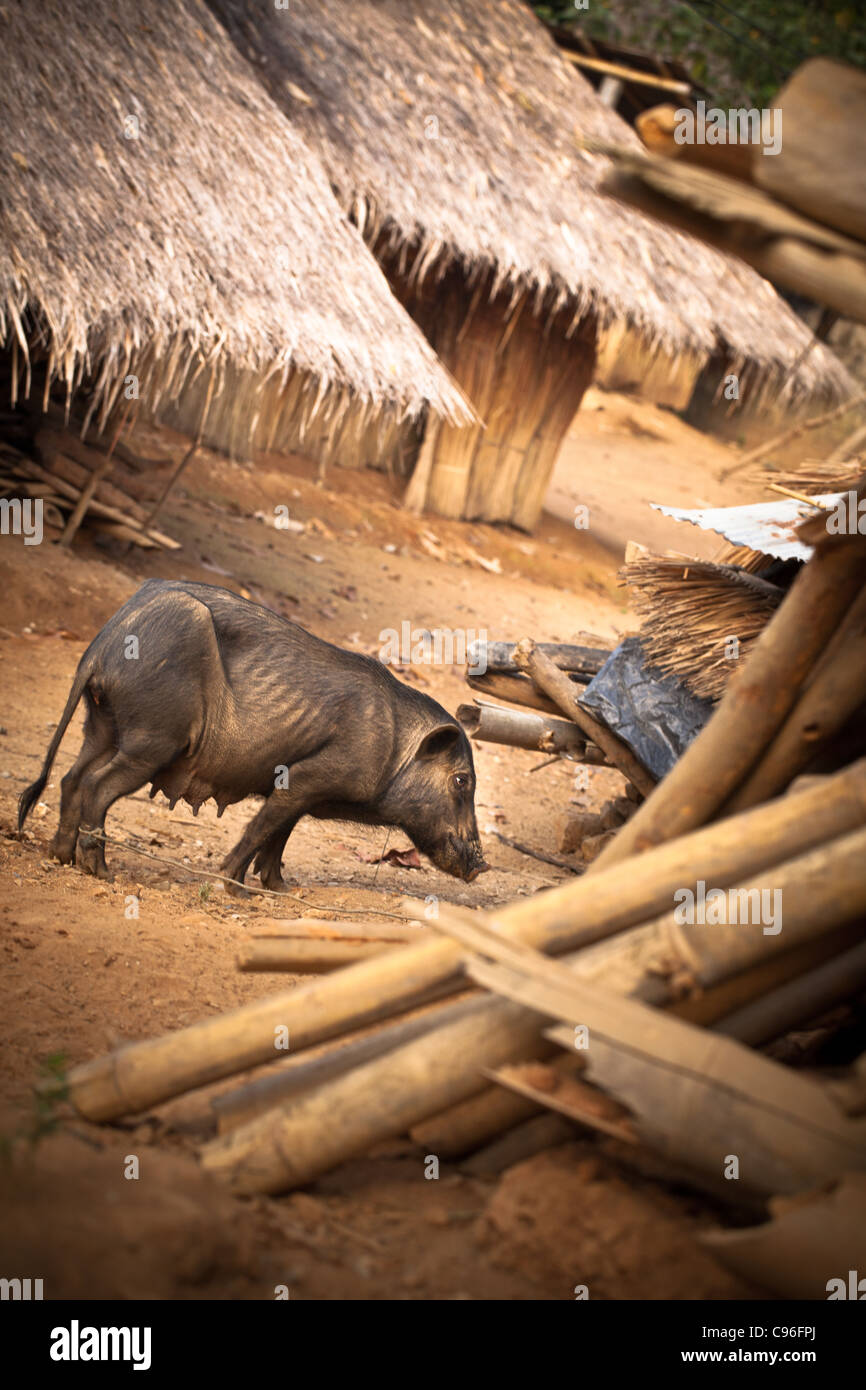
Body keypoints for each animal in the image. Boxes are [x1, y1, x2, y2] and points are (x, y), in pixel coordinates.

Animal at [18, 579, 488, 891]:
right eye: (462, 780)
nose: (482, 866)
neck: (394, 749)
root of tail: (104, 642)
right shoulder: (309, 776)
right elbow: (262, 828)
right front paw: (233, 886)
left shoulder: (301, 785)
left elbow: (280, 835)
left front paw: (279, 888)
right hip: (151, 738)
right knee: (97, 786)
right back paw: (100, 871)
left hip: (101, 723)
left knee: (71, 778)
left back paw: (60, 856)